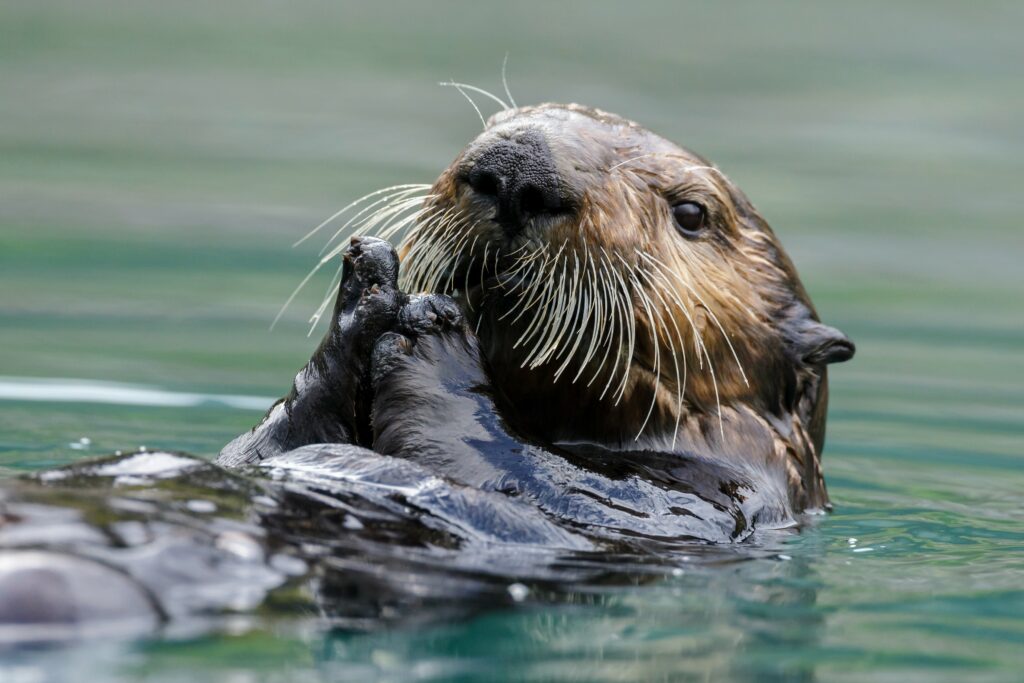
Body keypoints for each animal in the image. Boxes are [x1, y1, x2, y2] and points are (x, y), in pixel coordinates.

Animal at [0, 103, 853, 638]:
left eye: (692, 214)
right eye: (496, 126)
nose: (515, 167)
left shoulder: (676, 506)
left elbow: (500, 466)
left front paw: (435, 327)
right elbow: (271, 439)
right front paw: (366, 294)